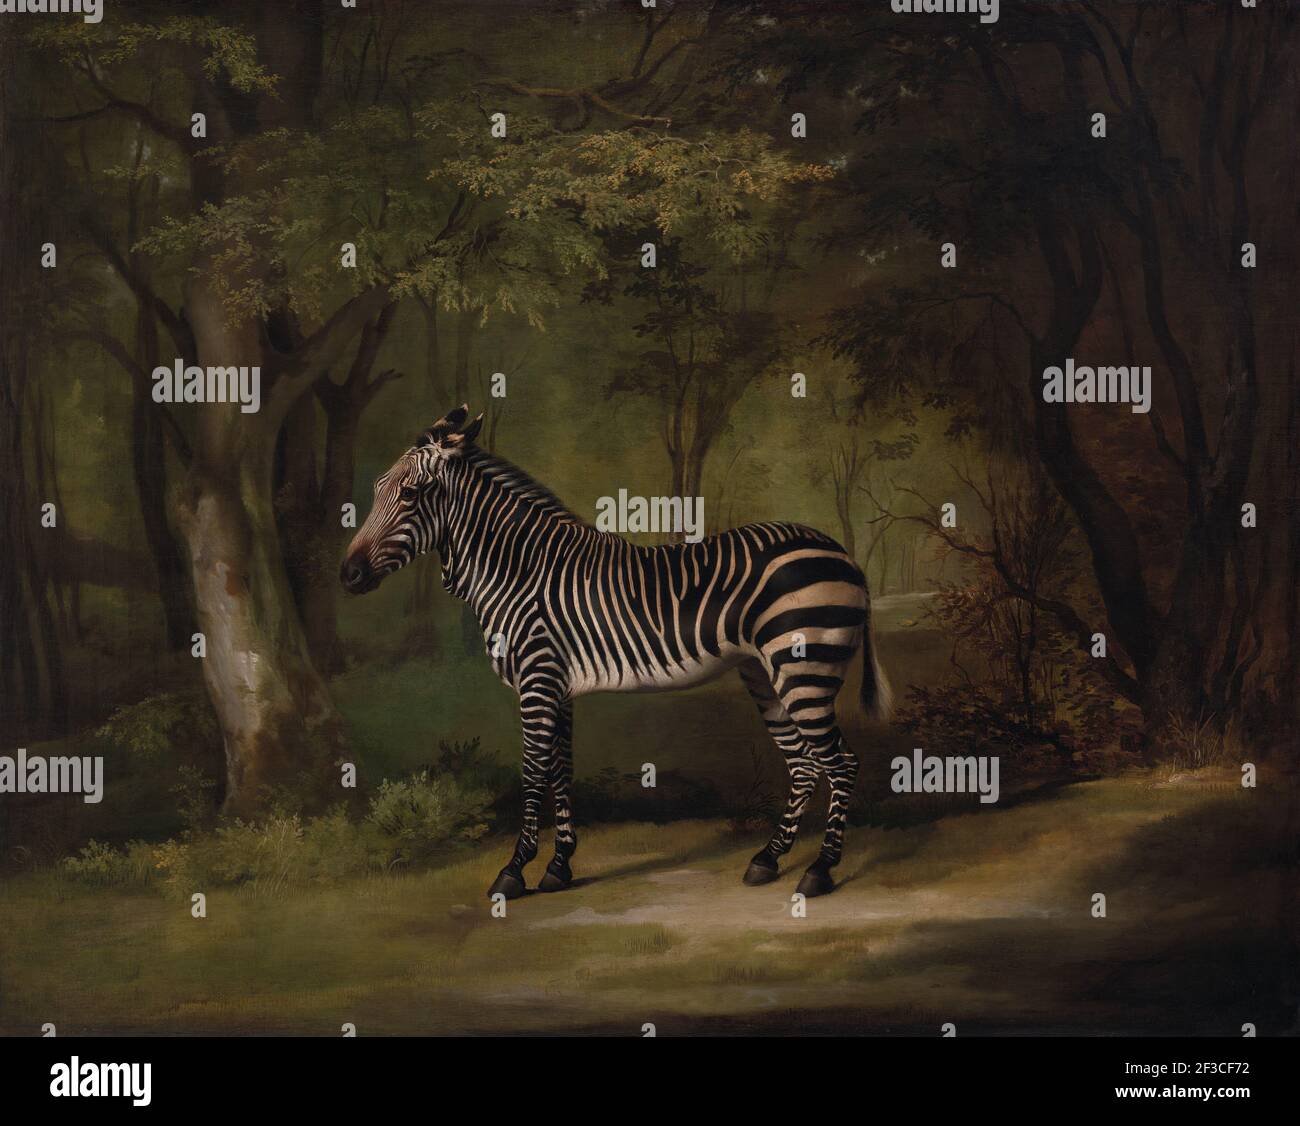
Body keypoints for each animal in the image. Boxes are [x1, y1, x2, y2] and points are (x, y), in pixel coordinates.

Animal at [340, 405, 891, 901]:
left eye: (411, 494)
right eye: (376, 490)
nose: (347, 574)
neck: (518, 570)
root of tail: (842, 552)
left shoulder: (537, 679)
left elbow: (533, 773)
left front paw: (514, 871)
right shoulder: (558, 686)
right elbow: (561, 772)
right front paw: (559, 867)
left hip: (804, 669)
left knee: (840, 763)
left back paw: (819, 871)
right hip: (765, 673)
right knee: (804, 765)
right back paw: (768, 859)